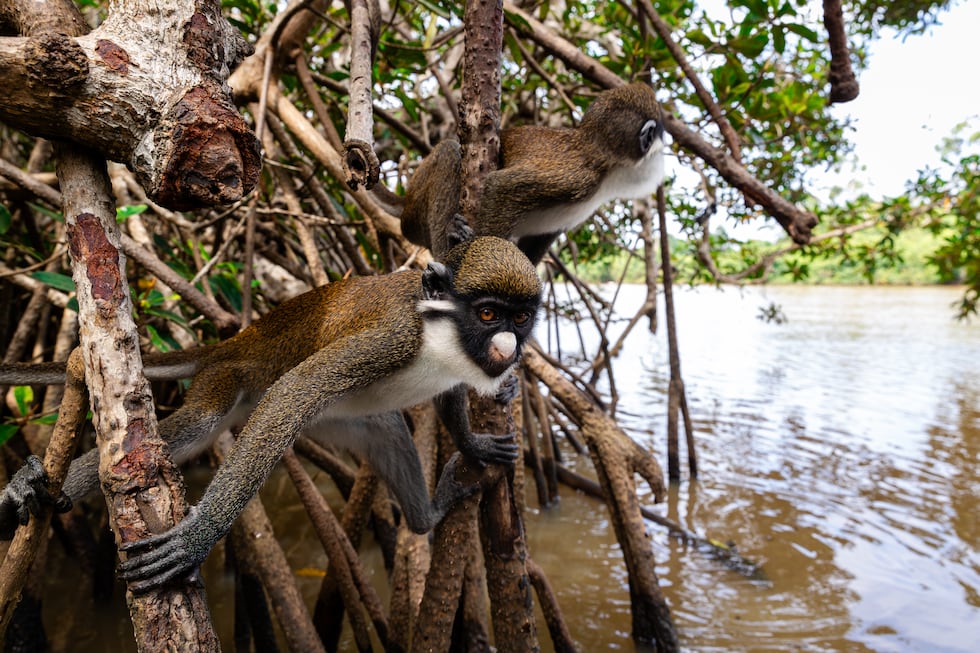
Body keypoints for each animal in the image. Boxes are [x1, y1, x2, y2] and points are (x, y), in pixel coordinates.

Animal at [0, 235, 542, 593]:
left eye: (520, 318)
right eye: (488, 314)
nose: (508, 346)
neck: (443, 336)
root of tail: (235, 342)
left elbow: (451, 397)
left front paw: (475, 443)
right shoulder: (395, 336)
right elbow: (294, 391)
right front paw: (198, 537)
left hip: (340, 419)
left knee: (385, 430)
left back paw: (428, 515)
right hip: (227, 379)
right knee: (196, 426)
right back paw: (26, 489)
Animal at [390, 82, 666, 264]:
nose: (666, 152)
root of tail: (404, 207)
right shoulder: (578, 177)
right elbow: (502, 186)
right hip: (414, 217)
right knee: (450, 151)